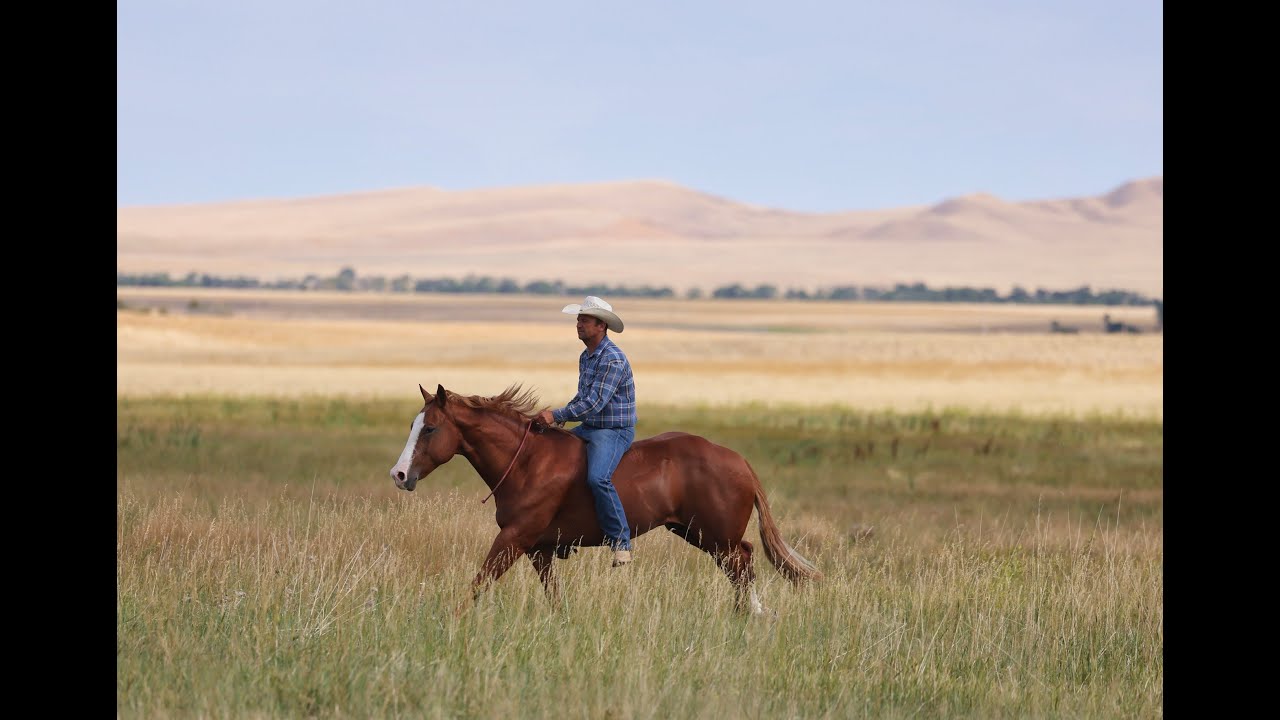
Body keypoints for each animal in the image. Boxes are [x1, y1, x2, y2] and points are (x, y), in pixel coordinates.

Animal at [389, 383, 822, 614]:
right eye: (412, 424)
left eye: (430, 428)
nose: (399, 475)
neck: (527, 461)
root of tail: (738, 460)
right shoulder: (539, 550)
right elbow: (554, 597)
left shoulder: (513, 539)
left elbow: (477, 585)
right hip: (696, 533)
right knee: (742, 563)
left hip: (715, 535)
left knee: (743, 563)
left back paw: (751, 615)